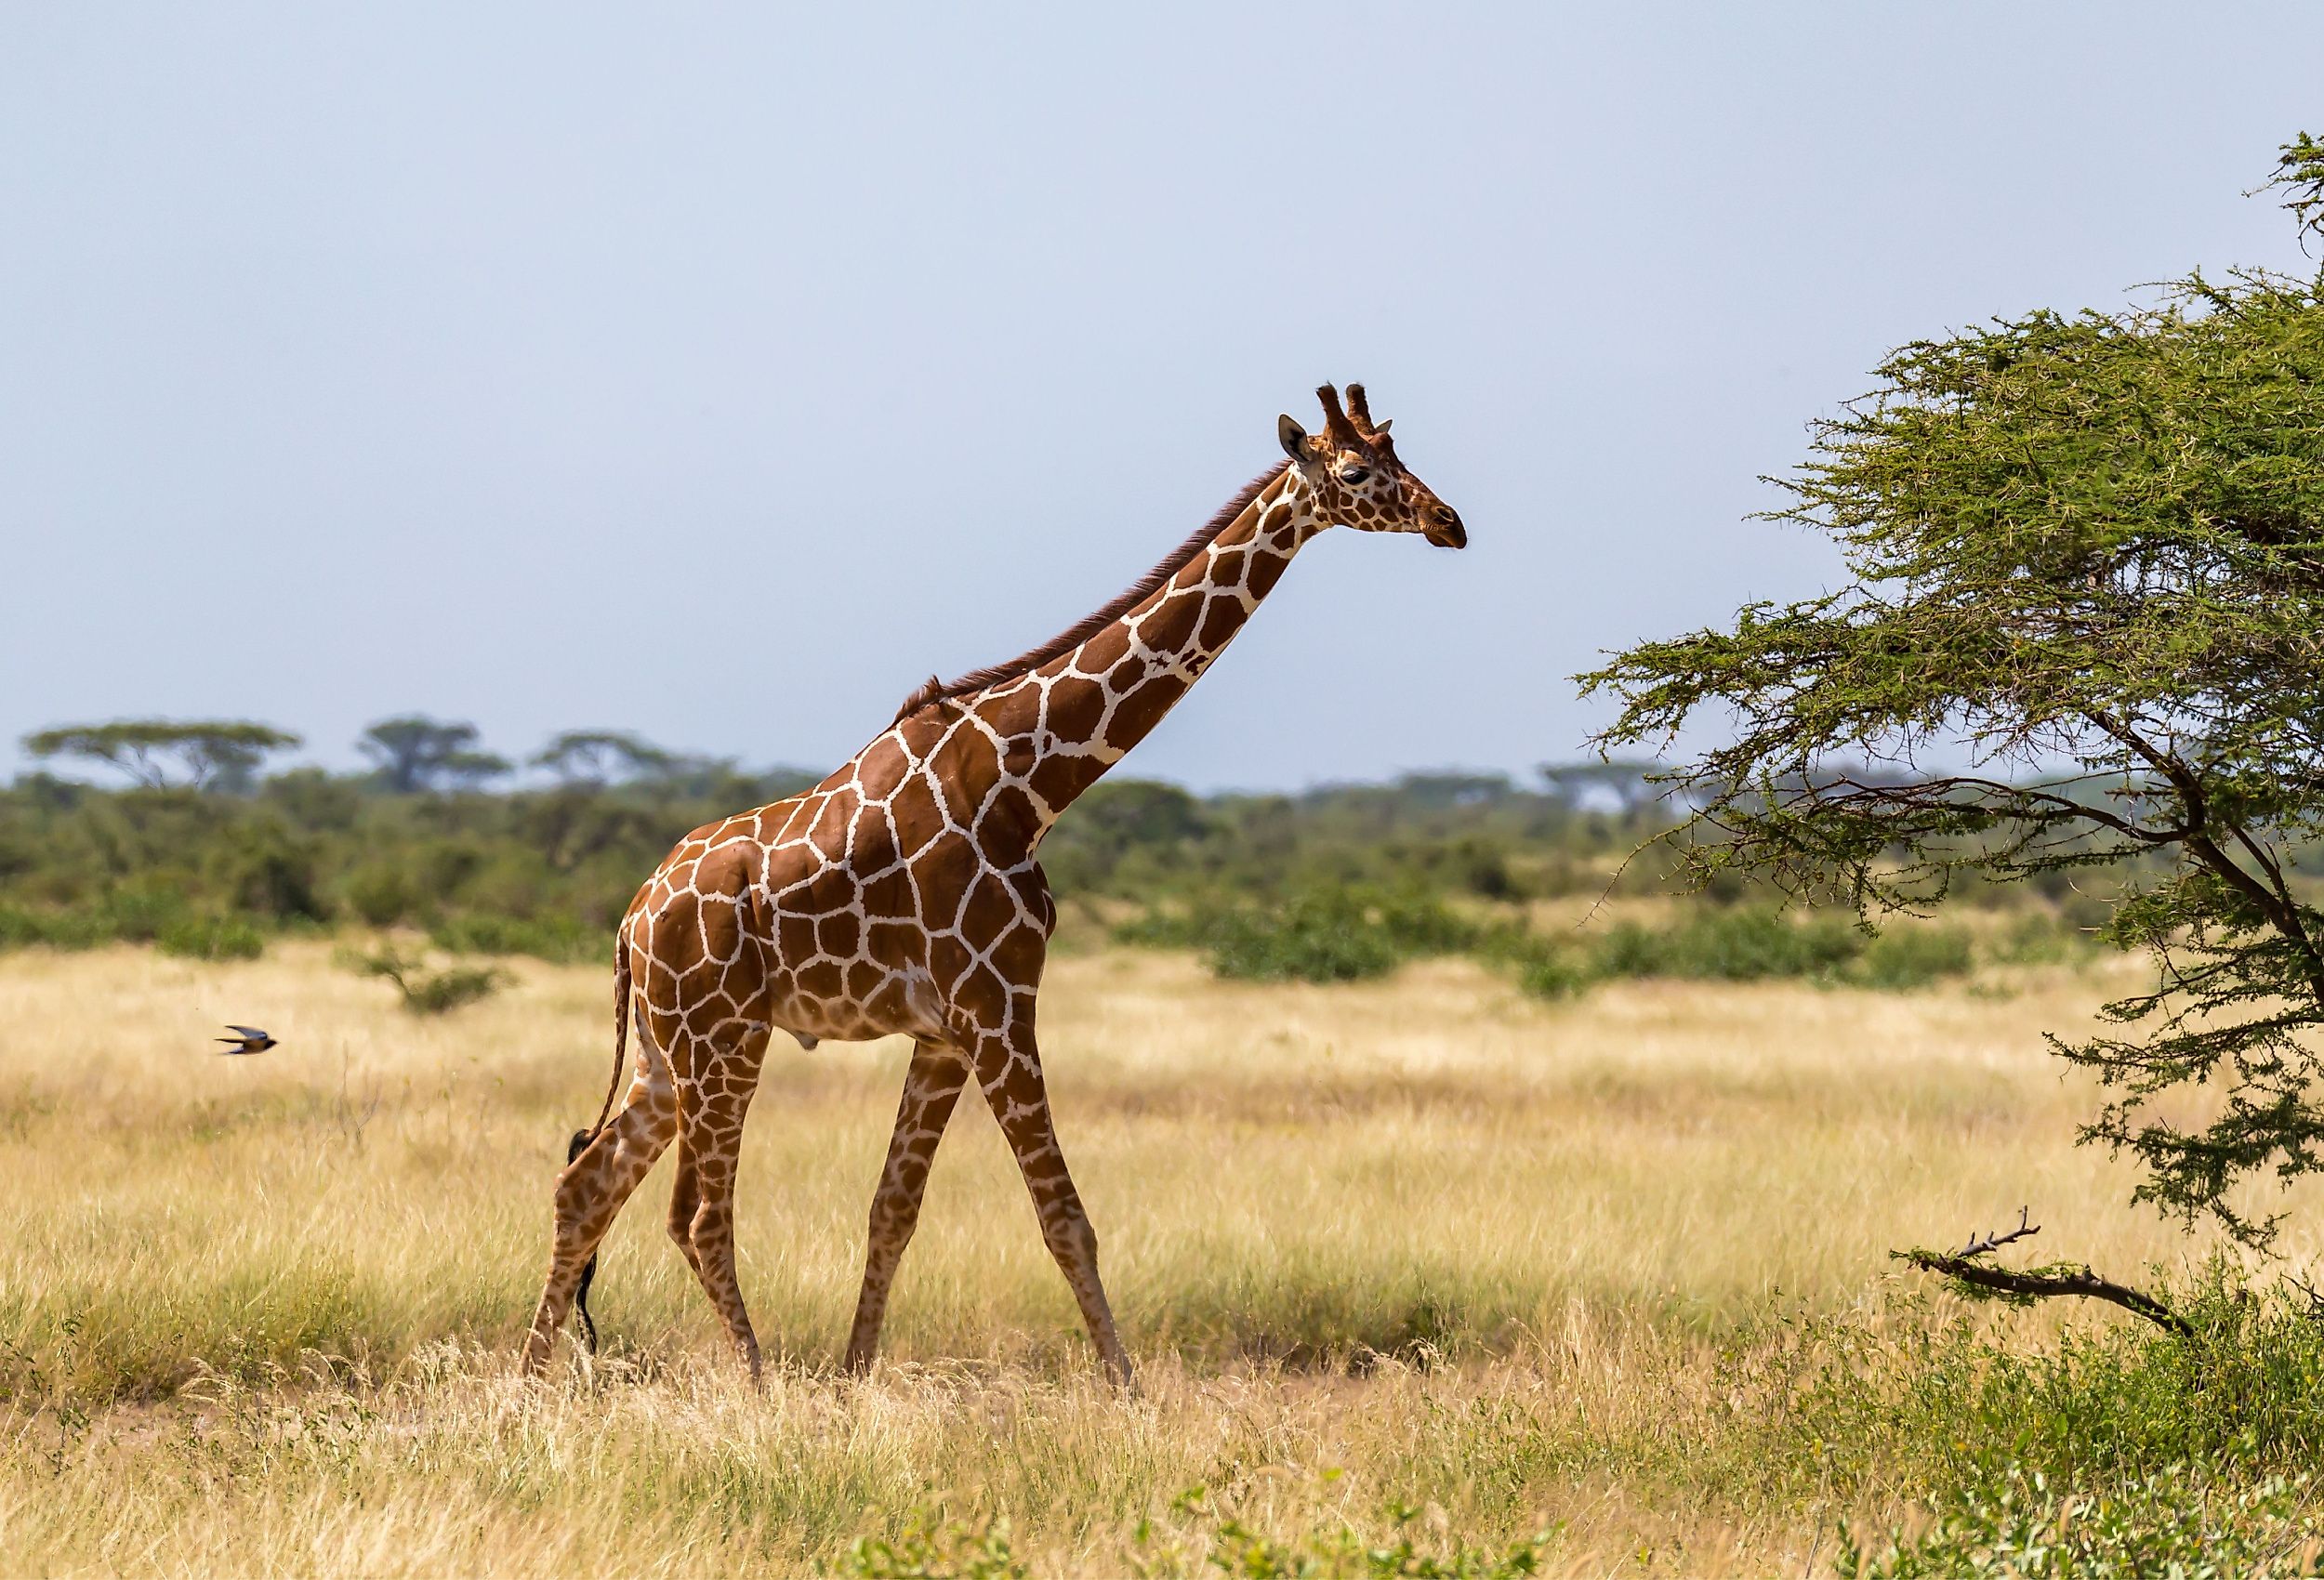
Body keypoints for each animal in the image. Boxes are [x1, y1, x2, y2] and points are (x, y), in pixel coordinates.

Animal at [523, 384, 1466, 1387]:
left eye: (1401, 453)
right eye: (1358, 471)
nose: (1449, 522)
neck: (1029, 780)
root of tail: (629, 921)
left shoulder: (944, 1031)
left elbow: (892, 1212)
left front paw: (856, 1381)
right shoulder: (999, 1003)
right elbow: (1065, 1218)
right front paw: (1127, 1389)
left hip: (668, 1052)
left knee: (586, 1183)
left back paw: (530, 1377)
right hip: (723, 1039)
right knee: (695, 1215)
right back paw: (758, 1383)